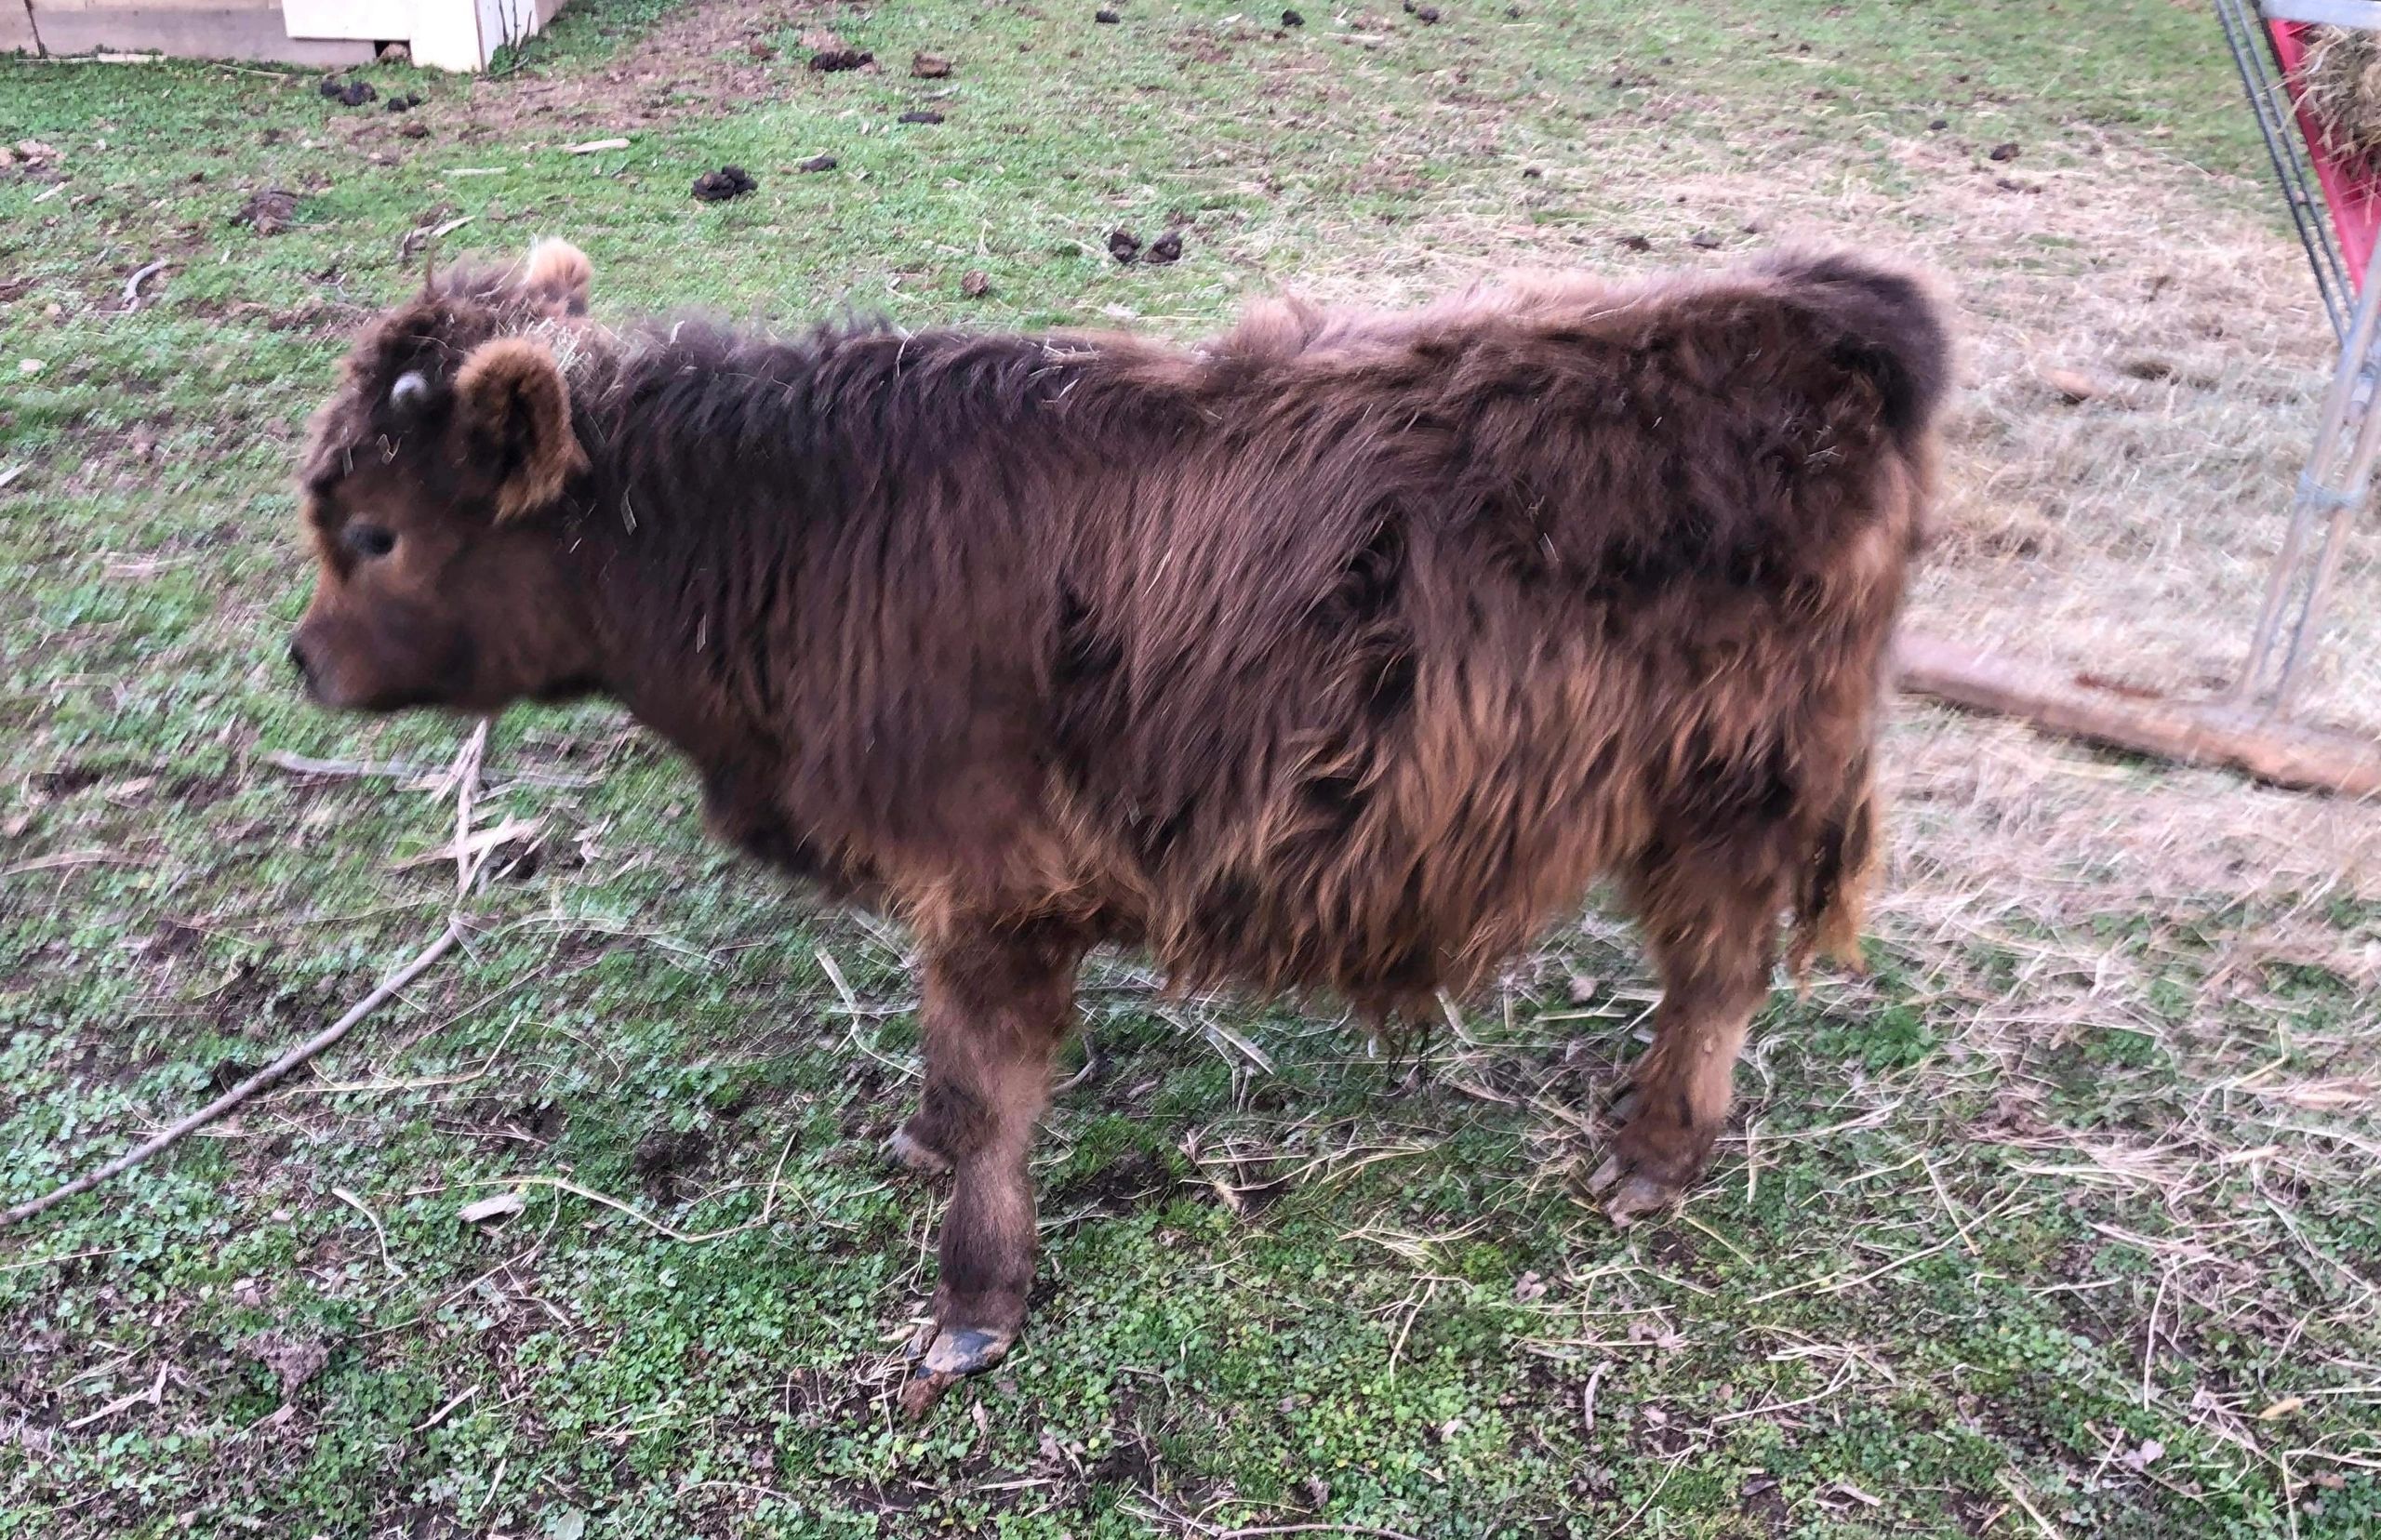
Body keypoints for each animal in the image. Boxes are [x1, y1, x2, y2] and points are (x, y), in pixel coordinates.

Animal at [288, 238, 1946, 1412]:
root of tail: (1813, 316)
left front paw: (973, 1306)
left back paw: (1655, 1154)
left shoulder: (989, 885)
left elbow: (986, 1096)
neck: (795, 543)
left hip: (1732, 792)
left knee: (1716, 974)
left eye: (374, 531)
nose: (302, 661)